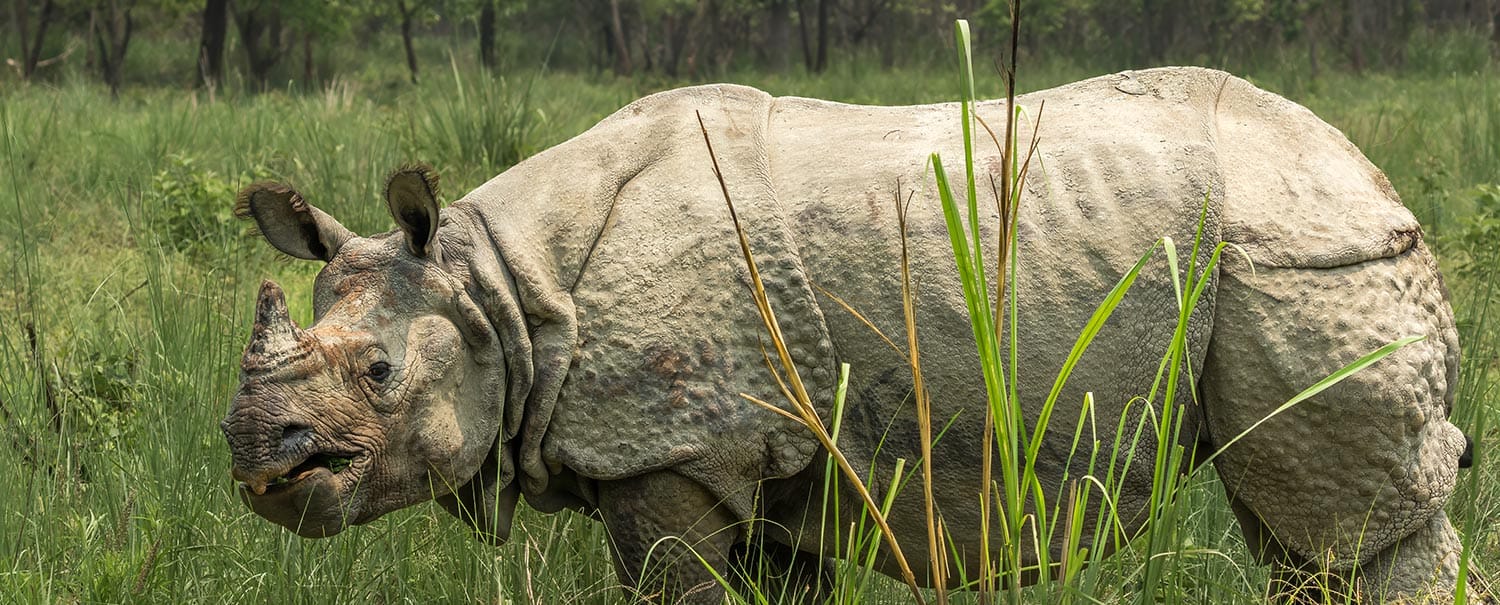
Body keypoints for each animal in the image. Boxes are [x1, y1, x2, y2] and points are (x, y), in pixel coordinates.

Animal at [222, 67, 1482, 603]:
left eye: (379, 371)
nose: (256, 460)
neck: (494, 288)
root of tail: (1364, 170)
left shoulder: (670, 444)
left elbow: (672, 583)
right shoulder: (777, 451)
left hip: (1299, 254)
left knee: (1348, 535)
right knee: (1306, 544)